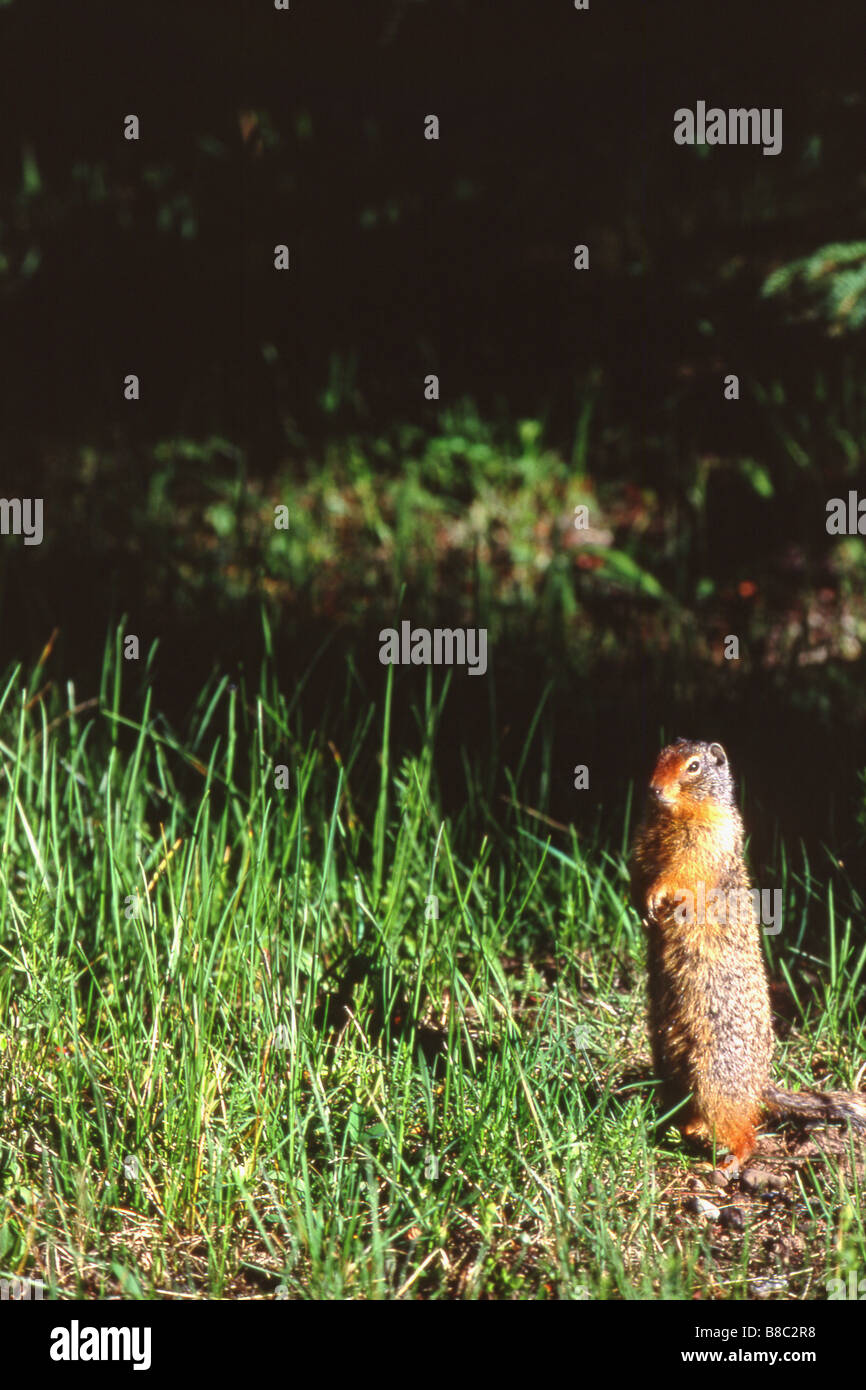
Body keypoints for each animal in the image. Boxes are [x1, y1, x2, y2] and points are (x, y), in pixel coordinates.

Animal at [630, 737, 866, 1168]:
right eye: (659, 756)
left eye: (693, 766)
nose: (653, 789)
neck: (674, 815)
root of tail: (761, 1084)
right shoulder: (643, 840)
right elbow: (638, 871)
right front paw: (641, 906)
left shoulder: (707, 840)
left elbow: (680, 872)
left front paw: (655, 897)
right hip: (670, 1064)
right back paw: (685, 1129)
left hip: (716, 1078)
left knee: (744, 1131)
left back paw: (728, 1161)